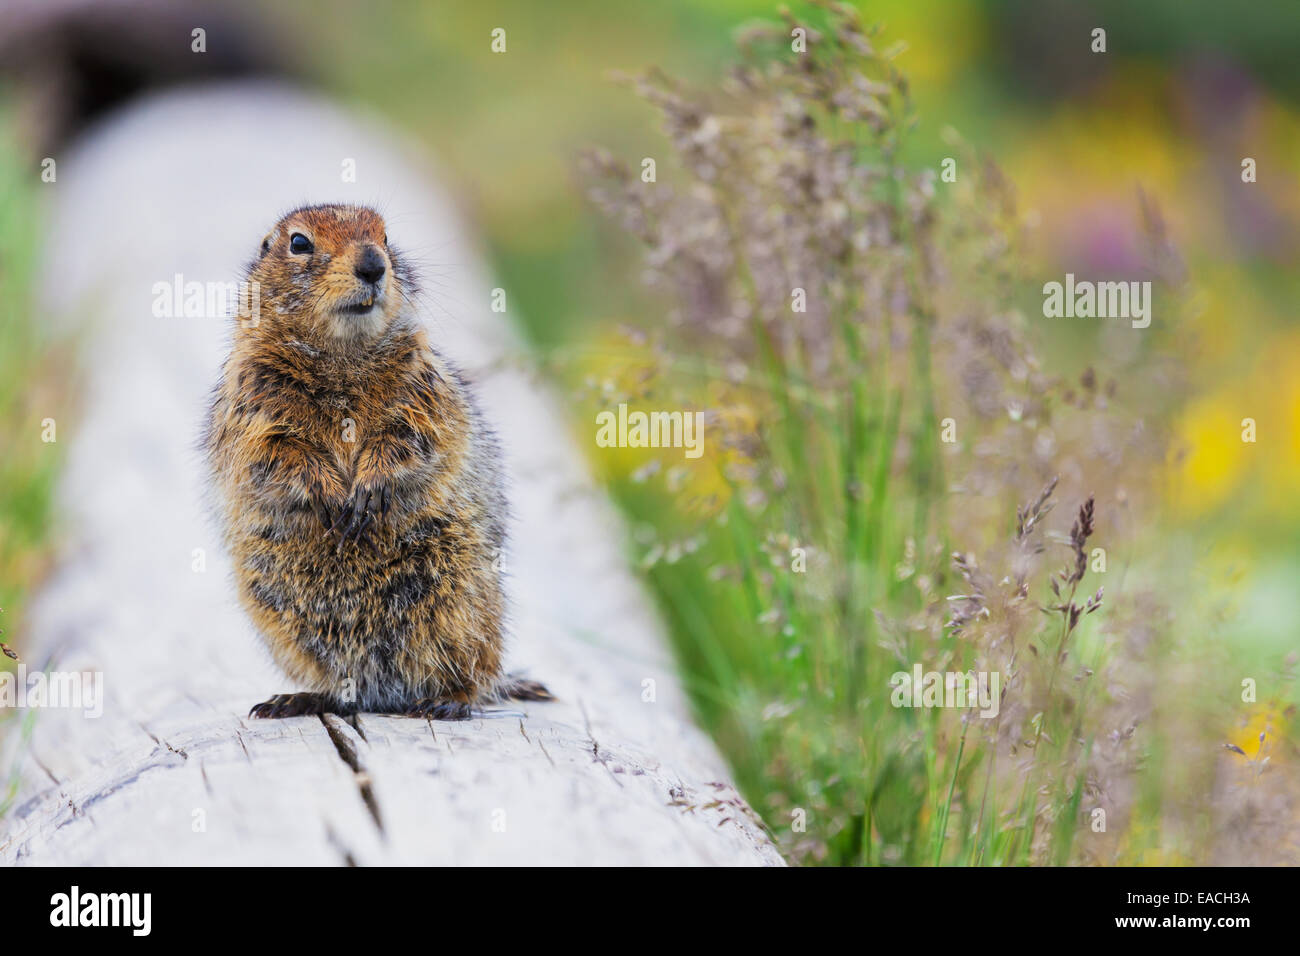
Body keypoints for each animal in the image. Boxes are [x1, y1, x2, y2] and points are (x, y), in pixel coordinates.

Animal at [205, 203, 551, 720]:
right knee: (340, 683)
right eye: (299, 243)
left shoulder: (424, 390)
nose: (373, 264)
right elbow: (276, 452)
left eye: (387, 237)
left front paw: (369, 487)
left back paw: (446, 701)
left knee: (476, 676)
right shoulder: (252, 405)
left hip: (466, 608)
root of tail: (386, 693)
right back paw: (300, 698)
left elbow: (413, 436)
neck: (341, 357)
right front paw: (331, 493)